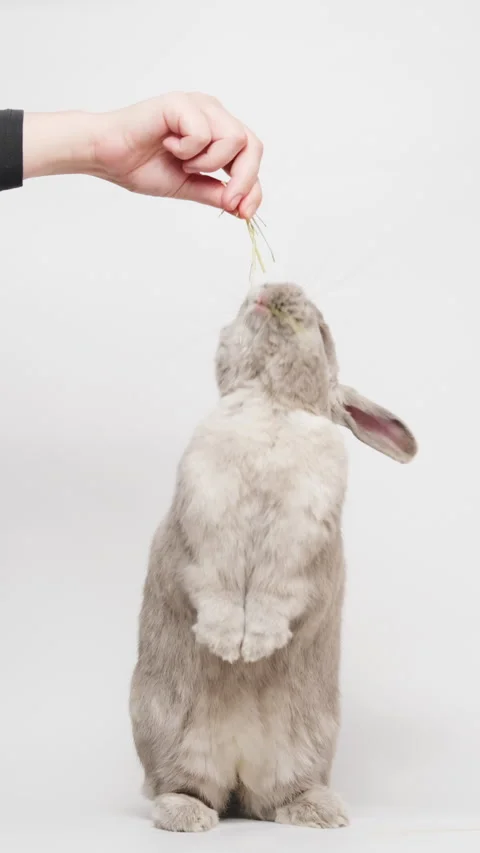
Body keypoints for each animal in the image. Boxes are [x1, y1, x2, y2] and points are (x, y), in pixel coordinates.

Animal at [130, 283, 417, 833]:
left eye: (323, 330)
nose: (272, 289)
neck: (271, 403)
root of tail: (238, 776)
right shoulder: (206, 525)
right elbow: (218, 584)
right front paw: (227, 645)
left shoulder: (300, 539)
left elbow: (275, 591)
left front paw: (255, 647)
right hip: (167, 735)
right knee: (178, 787)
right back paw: (189, 816)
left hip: (306, 747)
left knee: (275, 799)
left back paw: (321, 812)